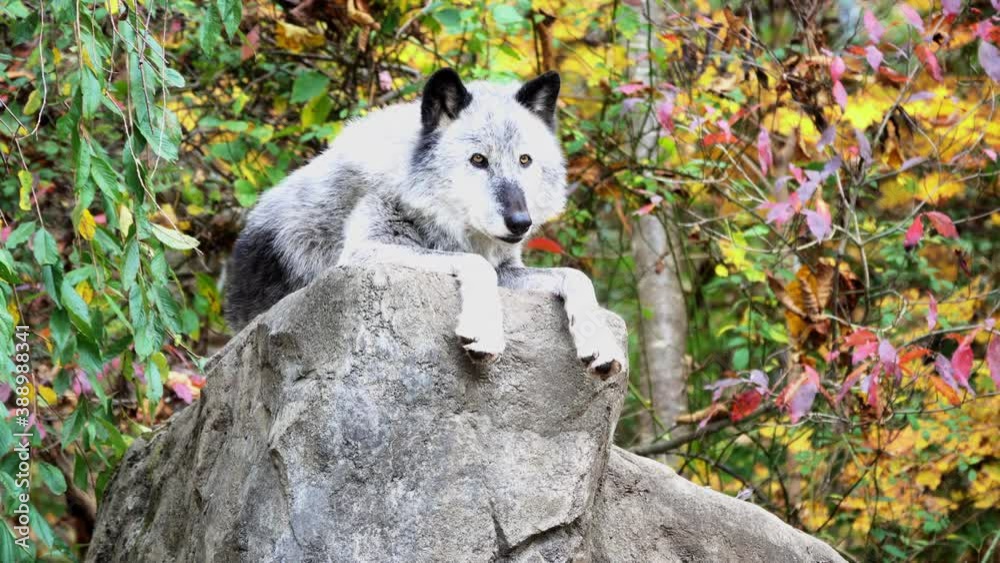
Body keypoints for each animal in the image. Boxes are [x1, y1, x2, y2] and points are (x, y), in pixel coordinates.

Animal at [225, 68, 625, 377]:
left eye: (525, 160)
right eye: (478, 160)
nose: (520, 222)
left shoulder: (508, 269)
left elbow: (575, 275)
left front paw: (598, 340)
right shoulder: (365, 251)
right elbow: (476, 264)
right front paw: (485, 330)